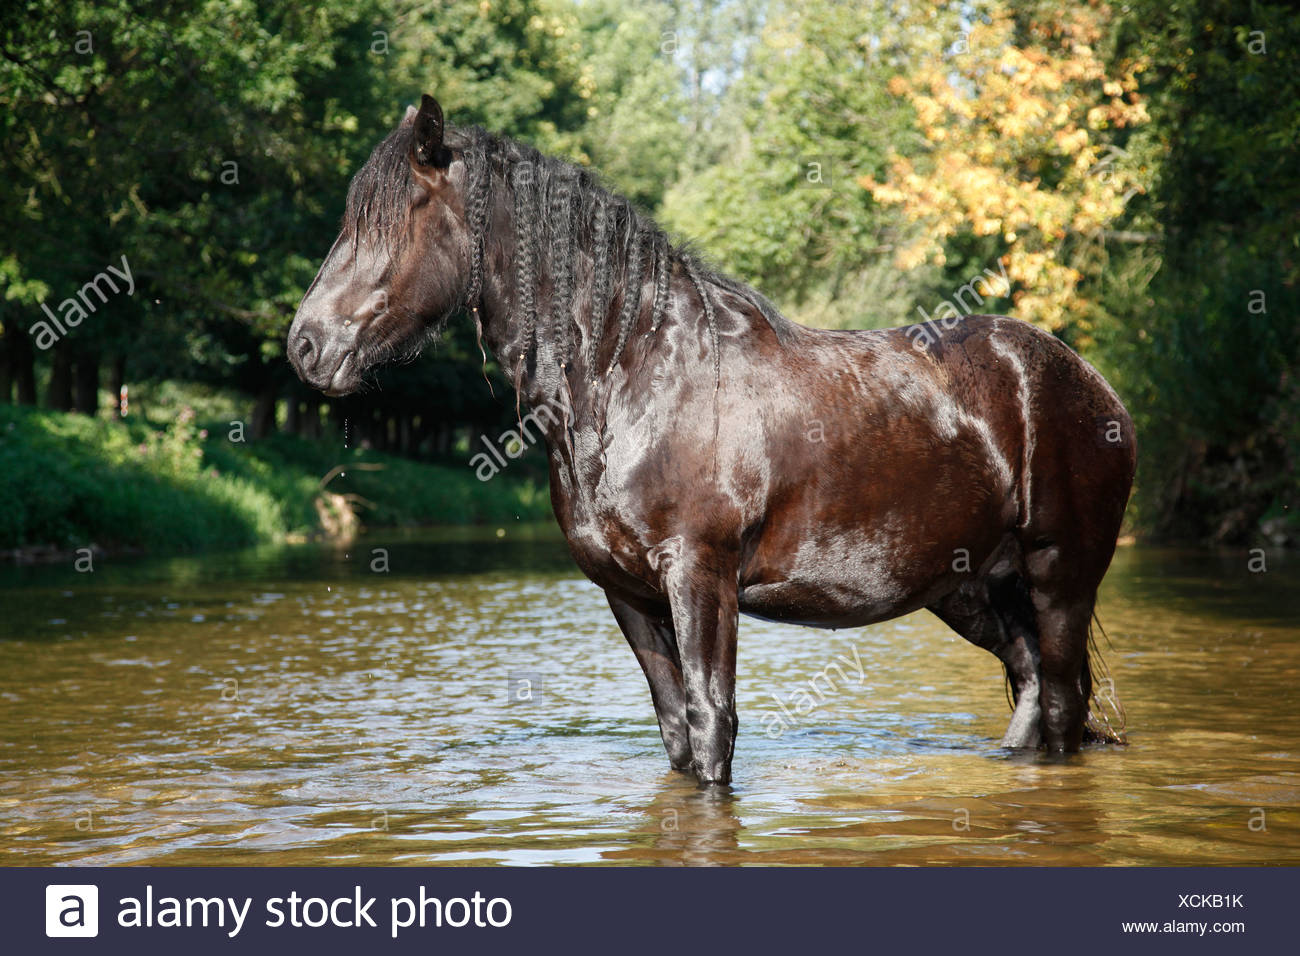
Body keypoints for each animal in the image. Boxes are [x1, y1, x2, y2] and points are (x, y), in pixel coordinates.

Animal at [287, 95, 1136, 786]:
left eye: (394, 218)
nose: (305, 345)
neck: (632, 373)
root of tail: (1095, 386)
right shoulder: (629, 594)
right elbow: (676, 730)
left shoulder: (701, 576)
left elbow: (712, 723)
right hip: (973, 589)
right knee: (1033, 692)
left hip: (1059, 578)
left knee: (1061, 703)